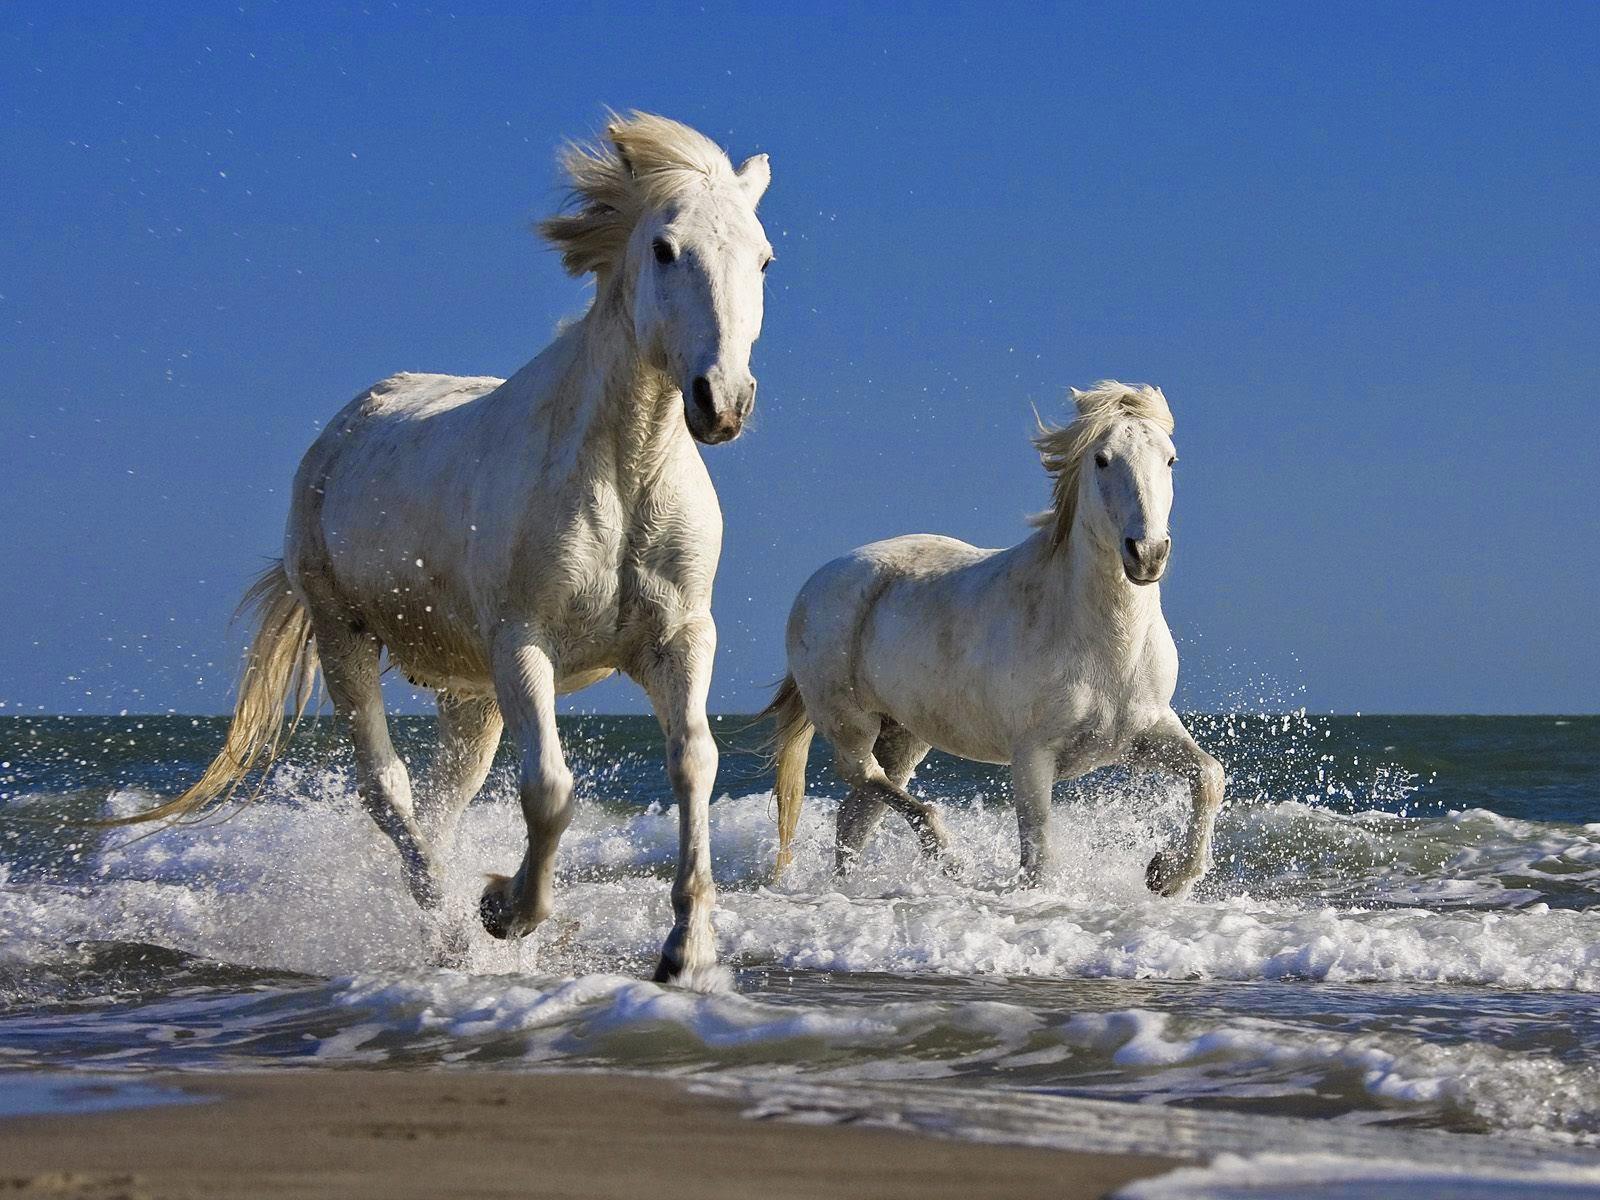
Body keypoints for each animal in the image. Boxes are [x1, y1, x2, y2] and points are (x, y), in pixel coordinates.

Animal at [111, 112, 775, 986]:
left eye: (763, 258)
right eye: (665, 249)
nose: (722, 402)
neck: (623, 469)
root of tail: (345, 427)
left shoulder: (681, 639)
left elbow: (694, 762)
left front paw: (684, 951)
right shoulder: (523, 644)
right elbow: (550, 788)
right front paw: (505, 912)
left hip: (471, 697)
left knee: (440, 804)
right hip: (347, 639)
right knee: (389, 792)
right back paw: (452, 930)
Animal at [763, 382, 1225, 897]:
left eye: (1170, 459)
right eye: (1102, 459)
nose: (1146, 554)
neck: (1105, 644)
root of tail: (818, 580)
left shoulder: (1143, 734)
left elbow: (1210, 775)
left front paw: (1166, 874)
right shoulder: (1032, 757)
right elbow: (1039, 857)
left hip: (904, 735)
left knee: (855, 814)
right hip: (849, 722)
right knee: (863, 777)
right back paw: (945, 855)